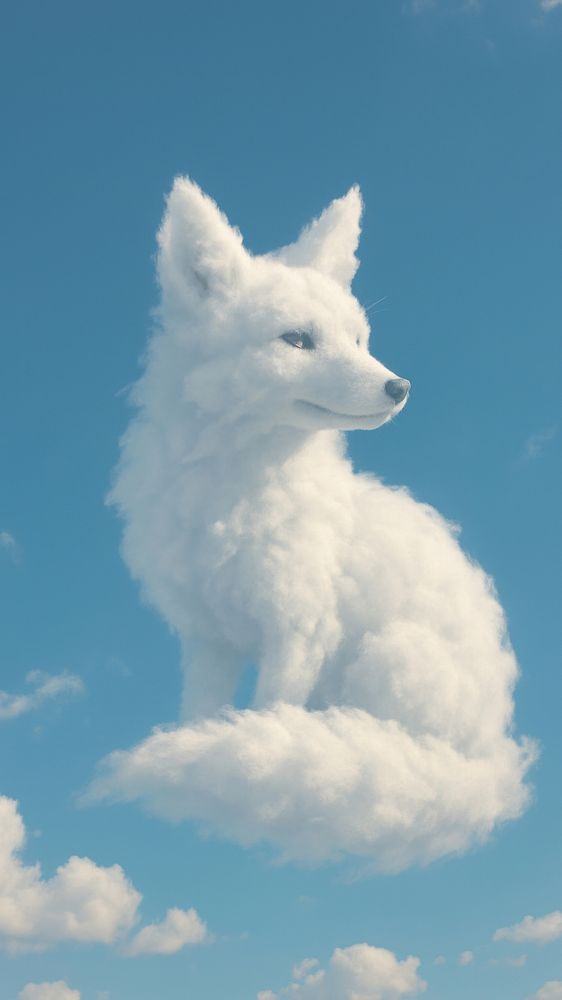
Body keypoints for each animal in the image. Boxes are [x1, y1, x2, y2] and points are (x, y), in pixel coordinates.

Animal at [111, 178, 521, 766]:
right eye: (297, 339)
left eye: (359, 340)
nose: (400, 387)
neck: (235, 488)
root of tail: (495, 746)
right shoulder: (210, 637)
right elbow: (200, 711)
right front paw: (193, 751)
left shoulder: (300, 628)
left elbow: (271, 706)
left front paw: (259, 749)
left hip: (386, 660)